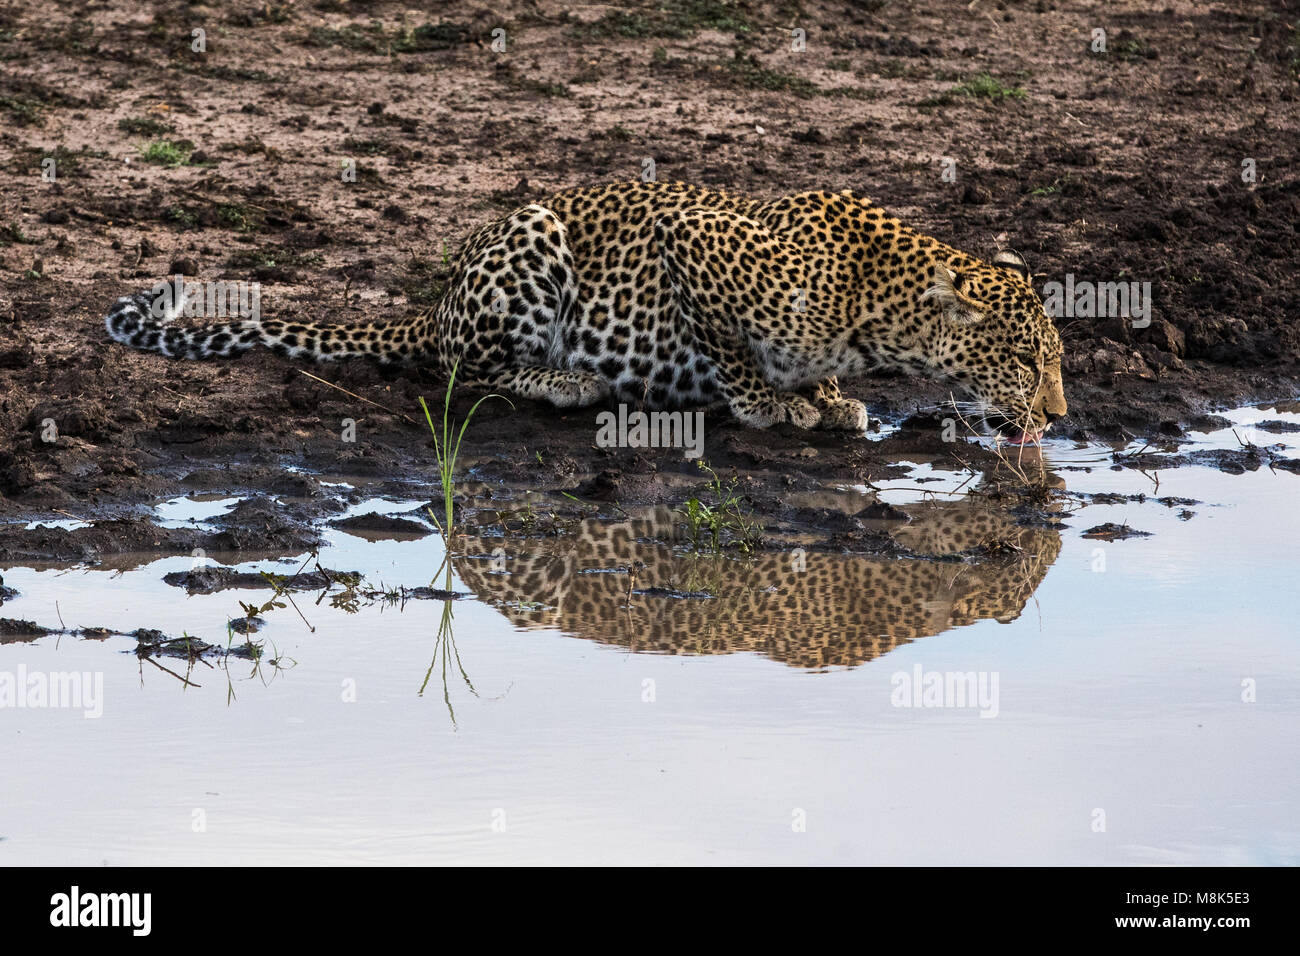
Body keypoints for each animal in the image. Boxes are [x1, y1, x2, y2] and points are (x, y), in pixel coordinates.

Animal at [104, 180, 1067, 442]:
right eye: (1024, 361)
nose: (1058, 417)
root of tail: (436, 300)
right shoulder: (693, 237)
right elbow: (733, 351)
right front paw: (769, 403)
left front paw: (828, 399)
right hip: (533, 240)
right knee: (469, 373)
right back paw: (565, 381)